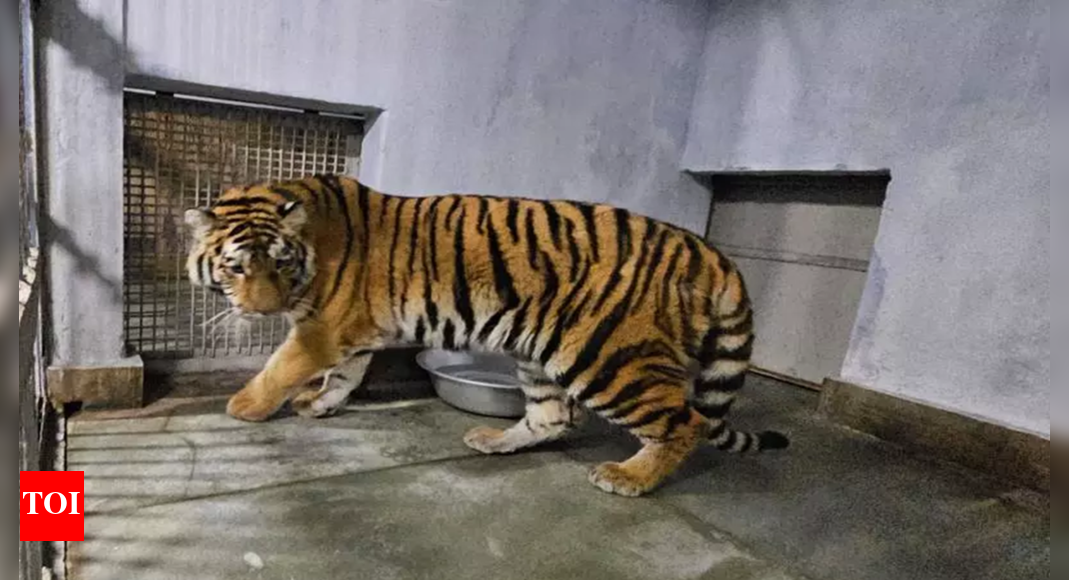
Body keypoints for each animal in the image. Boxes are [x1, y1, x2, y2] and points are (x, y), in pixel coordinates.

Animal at [184, 174, 789, 497]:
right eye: (238, 267)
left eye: (281, 264)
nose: (266, 307)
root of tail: (707, 251)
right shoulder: (351, 330)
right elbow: (344, 375)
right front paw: (320, 404)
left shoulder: (323, 327)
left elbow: (281, 367)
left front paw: (245, 406)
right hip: (543, 355)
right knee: (553, 416)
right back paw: (494, 441)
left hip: (609, 357)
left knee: (684, 422)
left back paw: (629, 477)